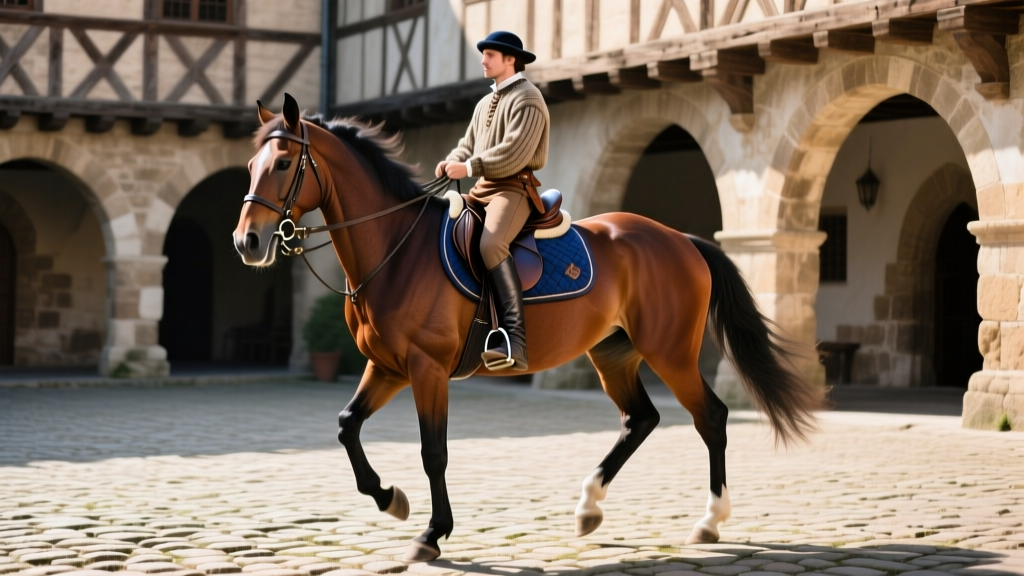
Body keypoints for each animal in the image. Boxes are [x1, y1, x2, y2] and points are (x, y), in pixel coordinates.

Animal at [233, 94, 824, 563]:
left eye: (283, 163)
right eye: (251, 163)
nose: (247, 242)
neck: (396, 250)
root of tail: (681, 239)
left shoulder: (426, 370)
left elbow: (433, 452)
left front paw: (431, 532)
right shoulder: (387, 366)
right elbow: (346, 426)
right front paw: (390, 499)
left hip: (671, 353)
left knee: (711, 418)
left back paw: (710, 520)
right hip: (613, 354)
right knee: (641, 419)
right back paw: (589, 506)